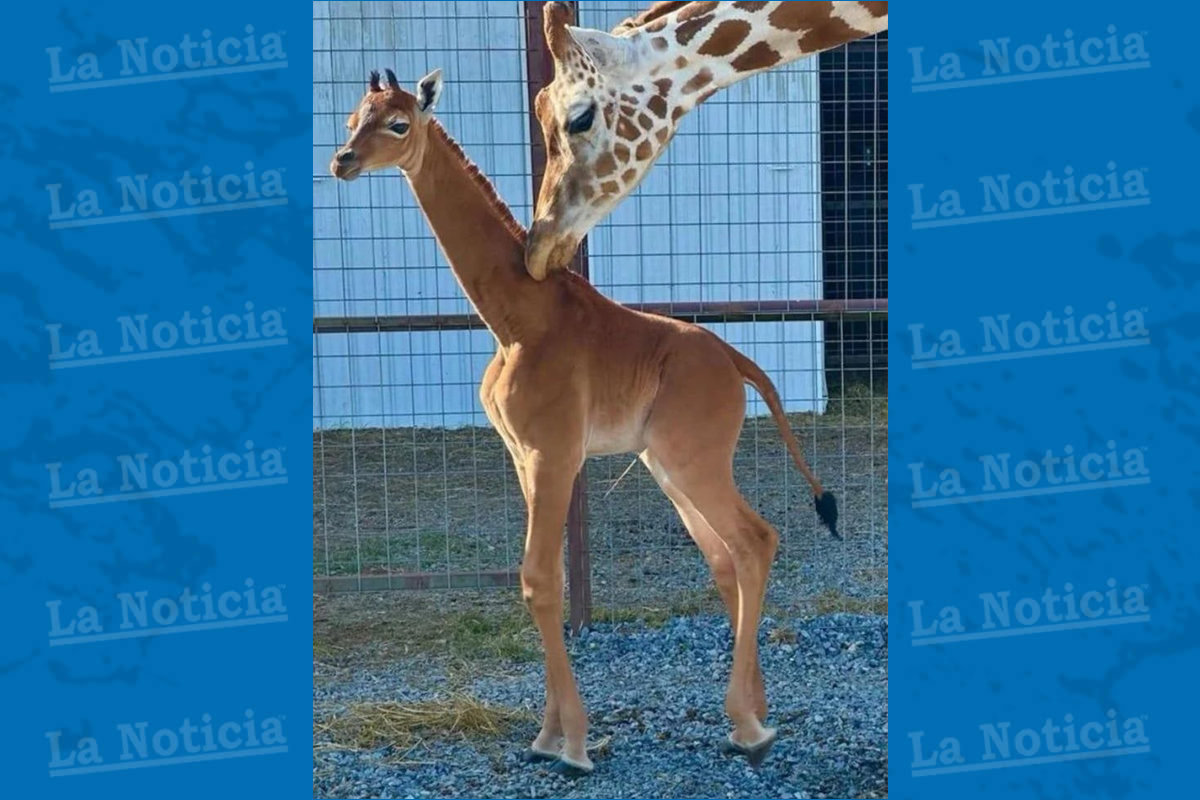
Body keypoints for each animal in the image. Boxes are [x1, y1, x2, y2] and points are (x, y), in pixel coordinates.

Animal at [331, 69, 838, 774]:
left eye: (399, 123)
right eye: (353, 117)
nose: (342, 161)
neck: (516, 319)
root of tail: (738, 362)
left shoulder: (554, 453)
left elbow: (539, 579)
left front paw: (570, 743)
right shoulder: (524, 457)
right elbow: (546, 581)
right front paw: (547, 736)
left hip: (694, 459)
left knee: (755, 540)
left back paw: (748, 726)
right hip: (667, 466)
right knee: (725, 555)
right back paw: (754, 715)